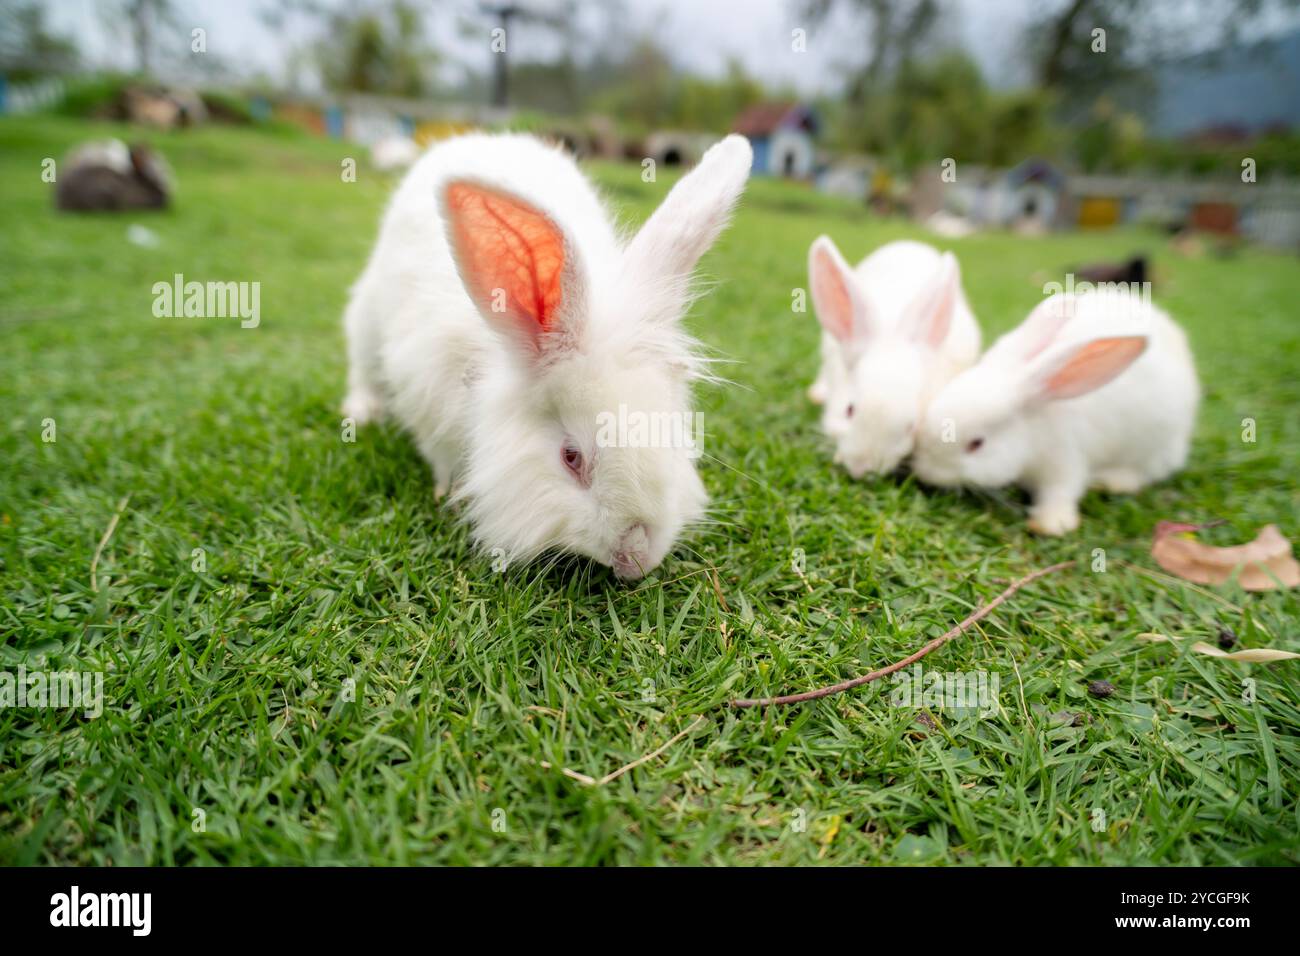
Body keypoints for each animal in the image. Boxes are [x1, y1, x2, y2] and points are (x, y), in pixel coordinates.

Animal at [911, 289, 1199, 535]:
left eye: (976, 444)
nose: (927, 475)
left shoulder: (1065, 458)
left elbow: (1062, 490)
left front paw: (1050, 524)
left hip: (1155, 447)